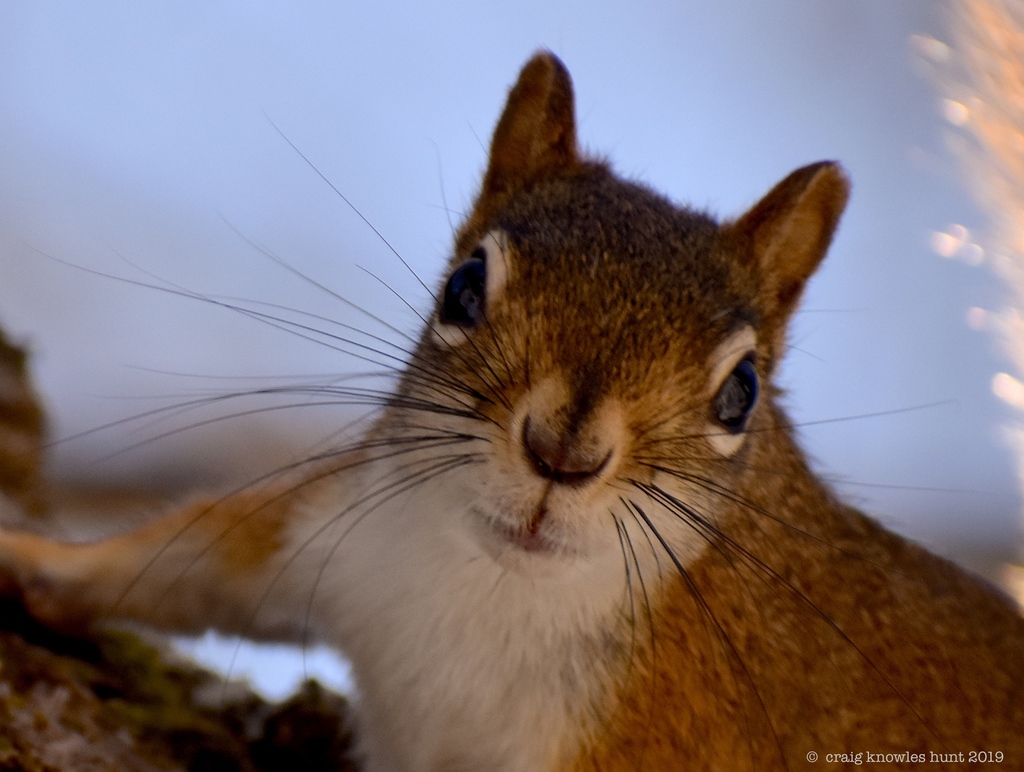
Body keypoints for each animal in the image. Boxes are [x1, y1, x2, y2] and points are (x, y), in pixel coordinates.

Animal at [0, 51, 1022, 771]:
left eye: (742, 392)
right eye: (462, 286)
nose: (562, 454)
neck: (499, 591)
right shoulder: (337, 525)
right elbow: (194, 559)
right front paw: (37, 563)